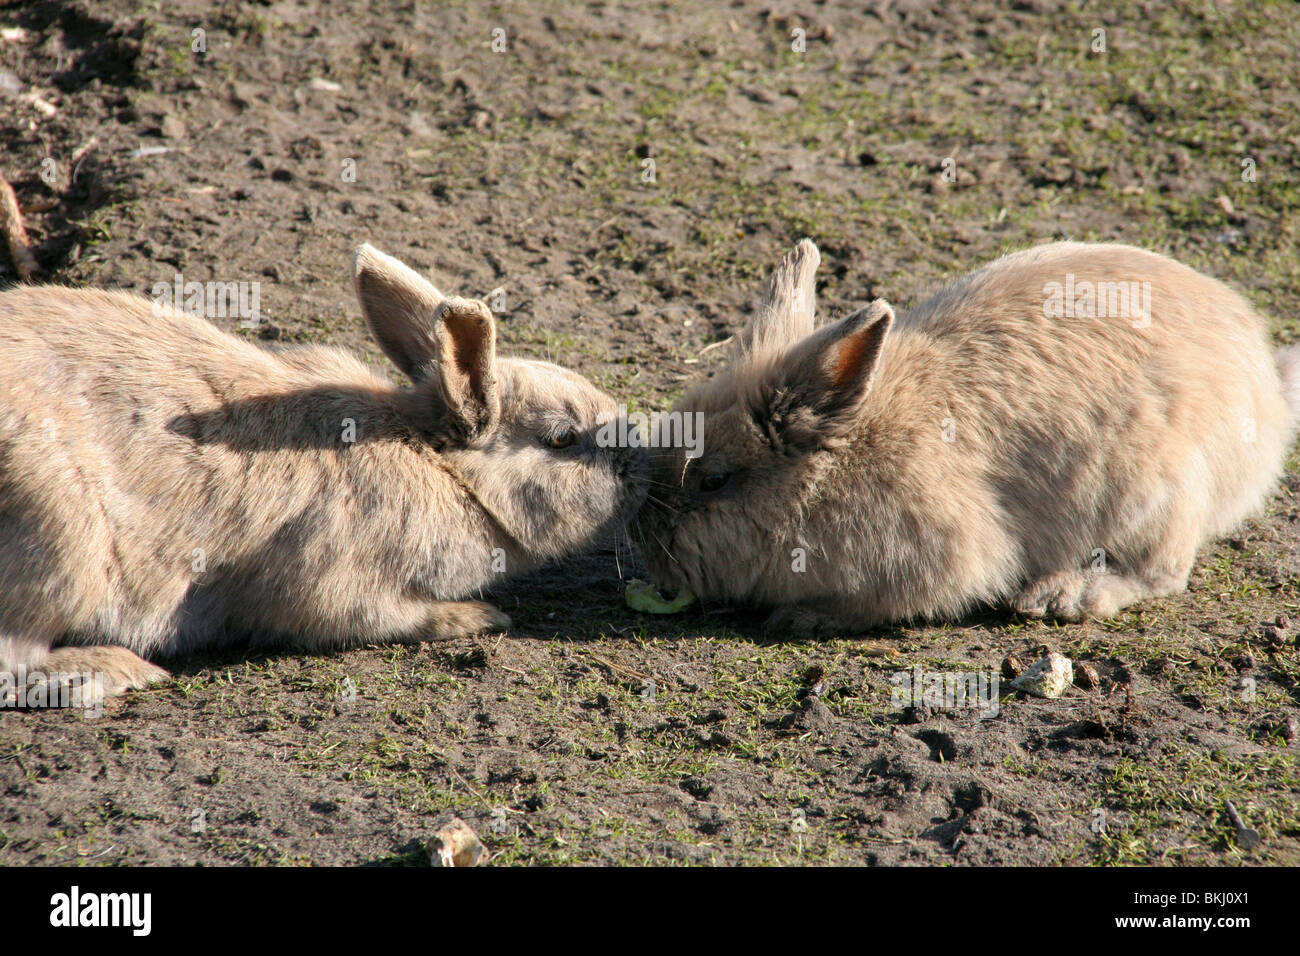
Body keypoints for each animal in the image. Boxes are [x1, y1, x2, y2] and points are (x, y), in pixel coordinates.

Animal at [0, 244, 647, 706]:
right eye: (562, 439)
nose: (640, 463)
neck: (440, 463)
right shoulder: (335, 584)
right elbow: (375, 616)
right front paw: (478, 617)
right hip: (61, 538)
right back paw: (123, 670)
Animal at [635, 239, 1300, 635]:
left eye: (714, 480)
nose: (643, 540)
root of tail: (1265, 392)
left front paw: (800, 616)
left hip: (1158, 494)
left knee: (1163, 573)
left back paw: (1062, 595)